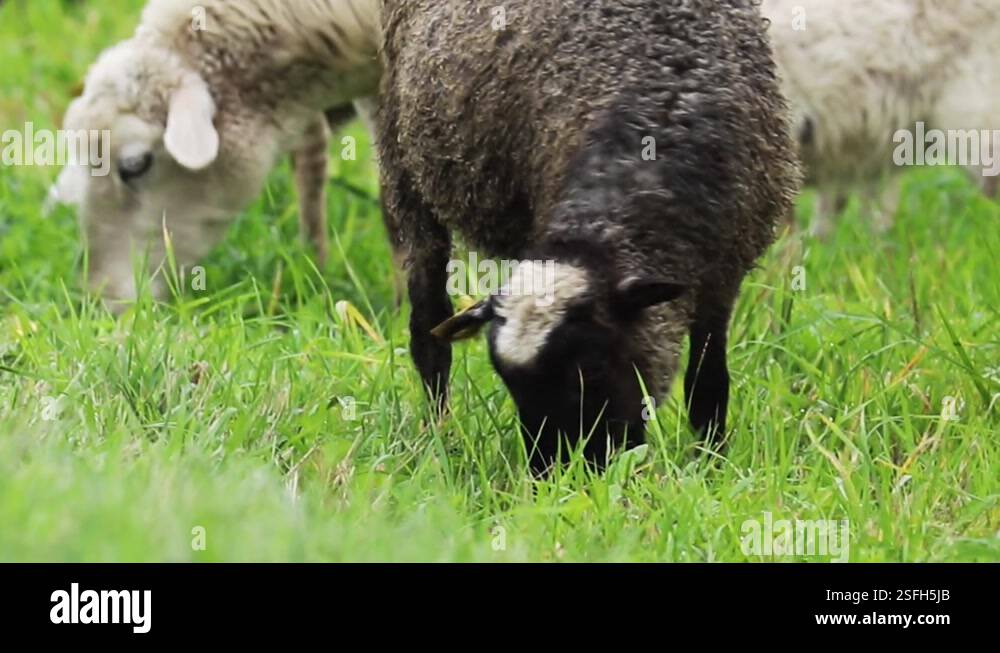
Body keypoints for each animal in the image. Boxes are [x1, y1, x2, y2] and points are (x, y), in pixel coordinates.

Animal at [377, 0, 801, 473]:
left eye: (591, 370)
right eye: (508, 382)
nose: (552, 475)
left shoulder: (723, 270)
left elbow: (707, 381)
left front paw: (711, 460)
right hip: (403, 164)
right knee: (428, 328)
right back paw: (439, 435)